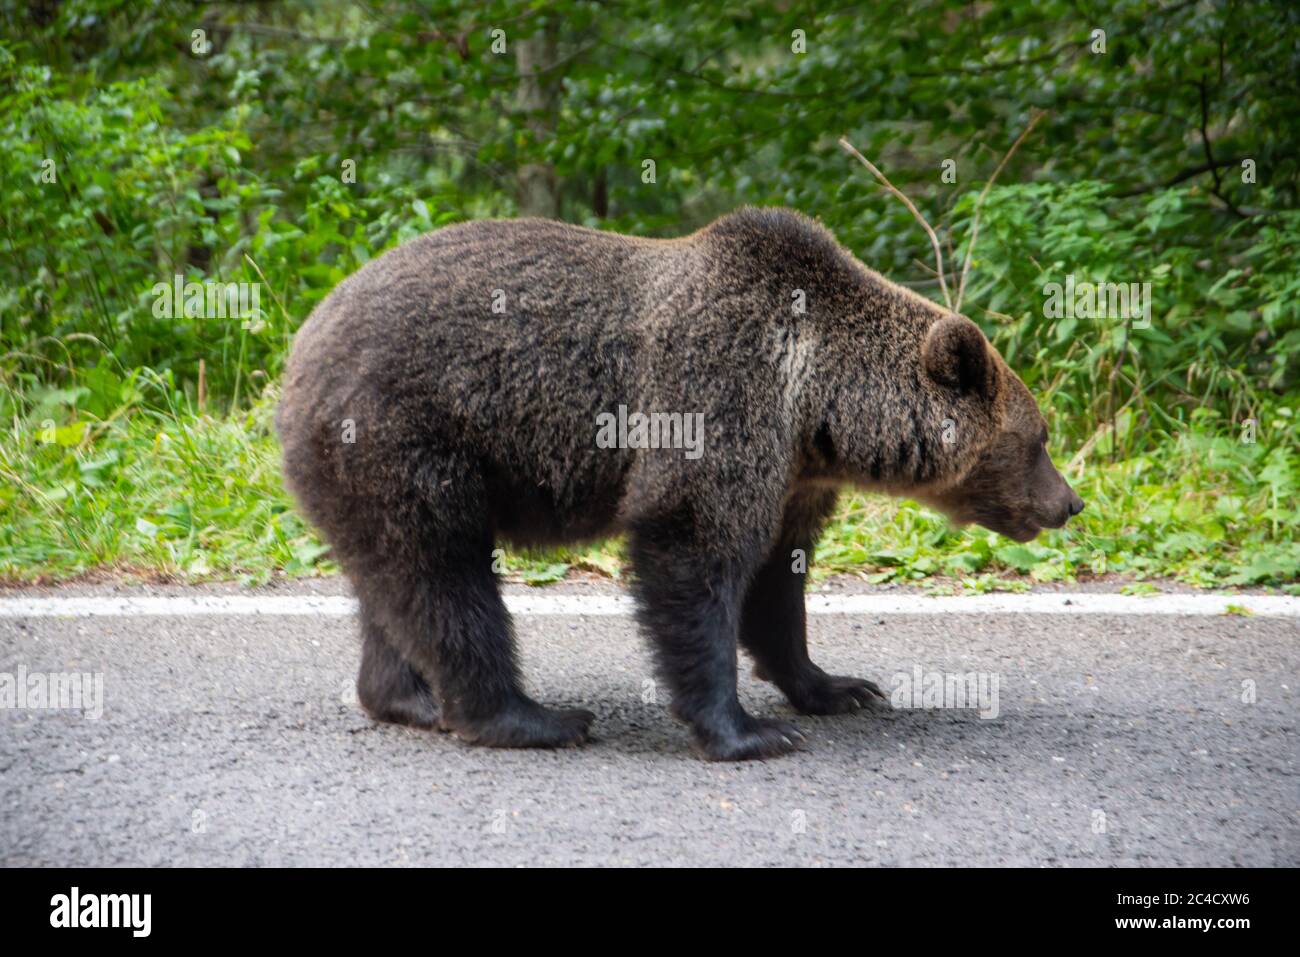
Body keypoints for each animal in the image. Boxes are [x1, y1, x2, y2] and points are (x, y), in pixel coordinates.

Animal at [276, 207, 1083, 761]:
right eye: (1039, 439)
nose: (1069, 503)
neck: (818, 409)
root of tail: (298, 350)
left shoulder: (792, 477)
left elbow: (778, 582)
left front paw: (837, 685)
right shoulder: (720, 396)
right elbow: (693, 551)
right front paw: (747, 731)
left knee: (392, 582)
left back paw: (406, 696)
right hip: (408, 437)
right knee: (445, 577)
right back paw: (530, 716)